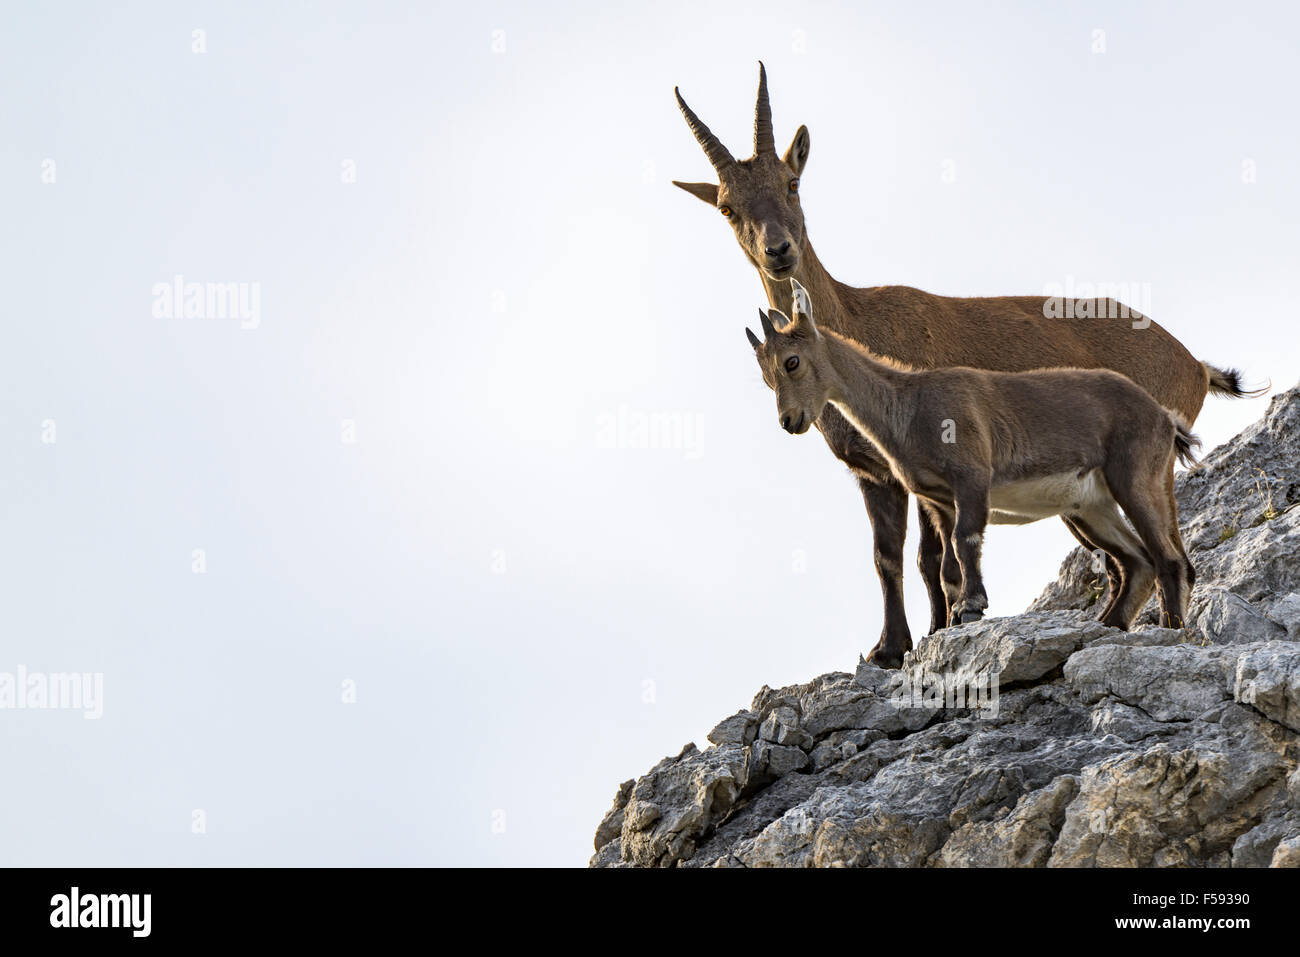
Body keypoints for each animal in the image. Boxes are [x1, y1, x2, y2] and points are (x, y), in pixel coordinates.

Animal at [747, 280, 1199, 632]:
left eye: (792, 362)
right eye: (765, 376)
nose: (790, 420)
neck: (907, 404)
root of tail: (1164, 418)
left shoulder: (972, 476)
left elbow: (966, 540)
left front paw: (973, 606)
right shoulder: (938, 499)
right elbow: (948, 561)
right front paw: (956, 612)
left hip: (1135, 476)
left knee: (1168, 558)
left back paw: (1173, 629)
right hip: (1090, 507)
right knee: (1137, 561)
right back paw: (1111, 624)